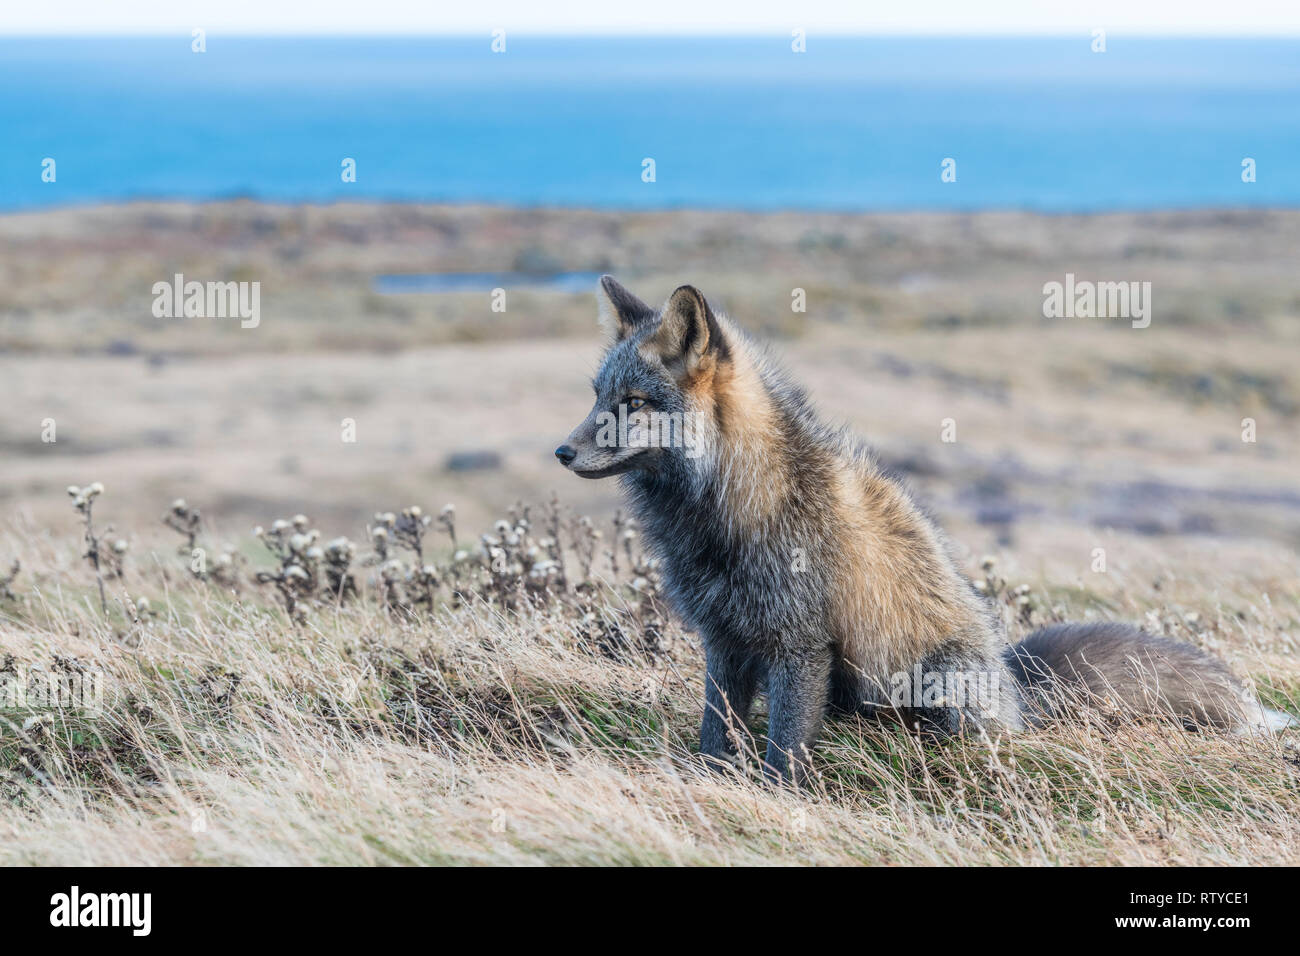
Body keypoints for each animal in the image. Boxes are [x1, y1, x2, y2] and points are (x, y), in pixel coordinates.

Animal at [556, 276, 1295, 784]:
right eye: (596, 398)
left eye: (634, 404)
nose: (561, 453)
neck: (727, 512)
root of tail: (1014, 689)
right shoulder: (726, 643)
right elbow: (718, 736)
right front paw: (711, 785)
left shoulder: (801, 647)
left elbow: (784, 751)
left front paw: (775, 799)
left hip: (938, 683)